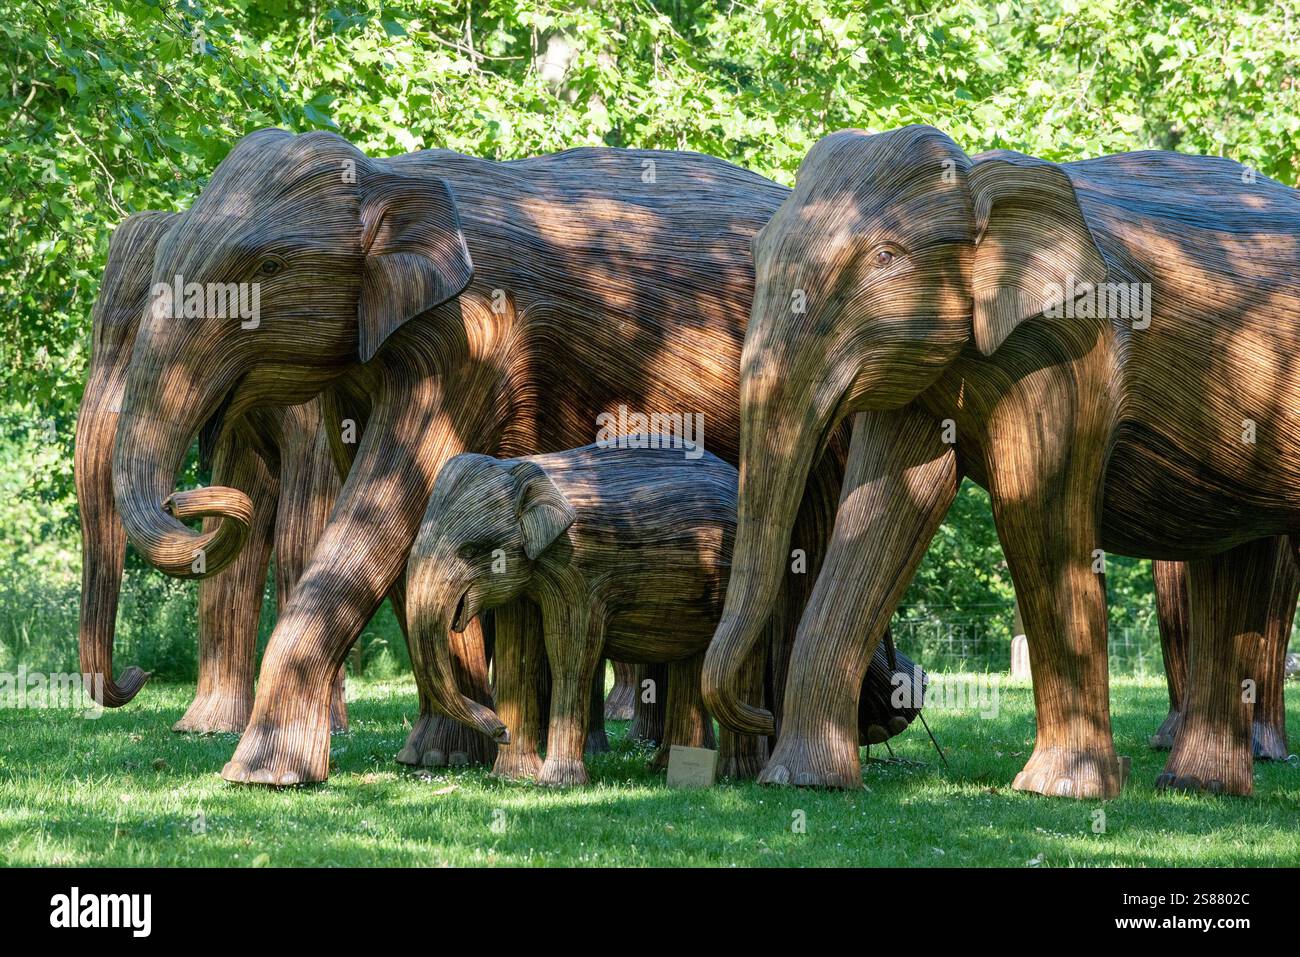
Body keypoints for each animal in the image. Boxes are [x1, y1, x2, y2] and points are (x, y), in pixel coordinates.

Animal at [109, 128, 928, 786]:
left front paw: (265, 775)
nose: (198, 502)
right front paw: (441, 758)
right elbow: (403, 522)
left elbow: (387, 506)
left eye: (270, 267)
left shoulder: (471, 335)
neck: (391, 177)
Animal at [703, 124, 1300, 797]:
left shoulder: (1070, 346)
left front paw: (1057, 791)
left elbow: (1035, 519)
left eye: (885, 257)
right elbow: (882, 514)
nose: (757, 712)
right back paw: (1200, 788)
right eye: (758, 254)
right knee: (1235, 560)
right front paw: (803, 783)